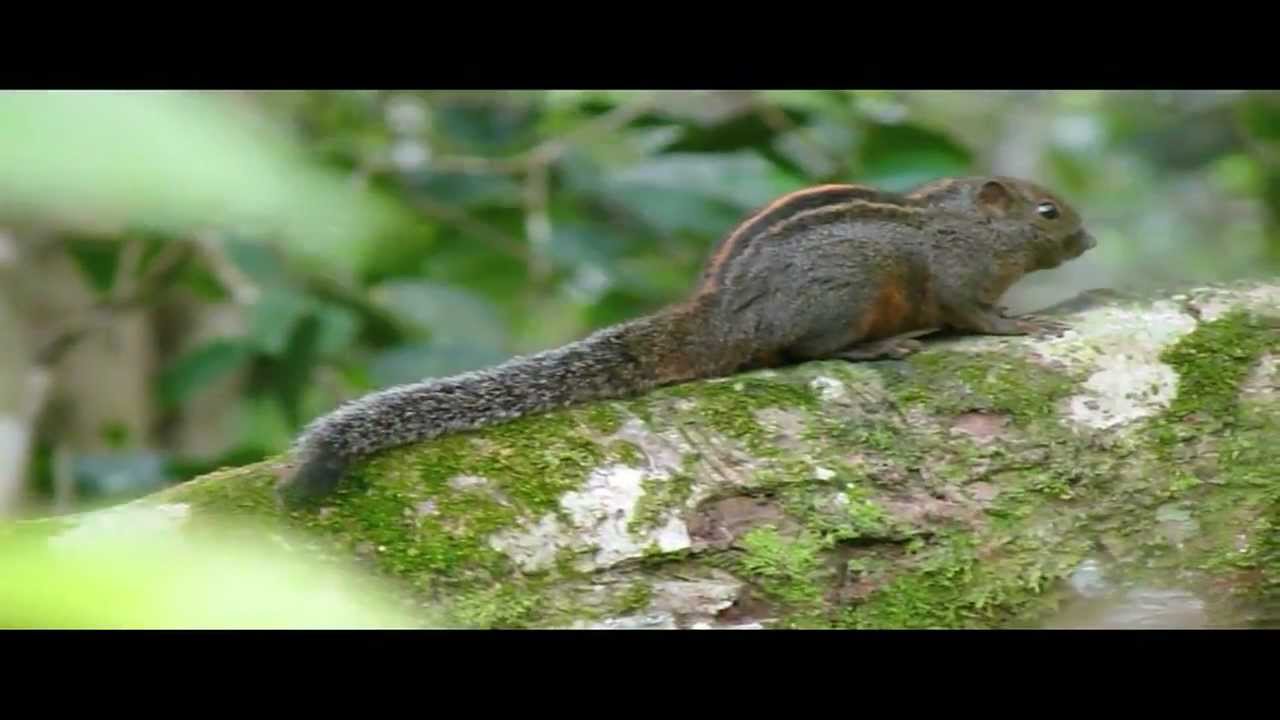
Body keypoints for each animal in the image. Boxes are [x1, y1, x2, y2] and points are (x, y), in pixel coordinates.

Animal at [276, 175, 1096, 509]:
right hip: (848, 294)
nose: (1089, 241)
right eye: (1049, 213)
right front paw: (1019, 323)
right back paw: (876, 348)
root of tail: (721, 319)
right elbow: (970, 312)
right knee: (803, 352)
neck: (966, 225)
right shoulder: (955, 275)